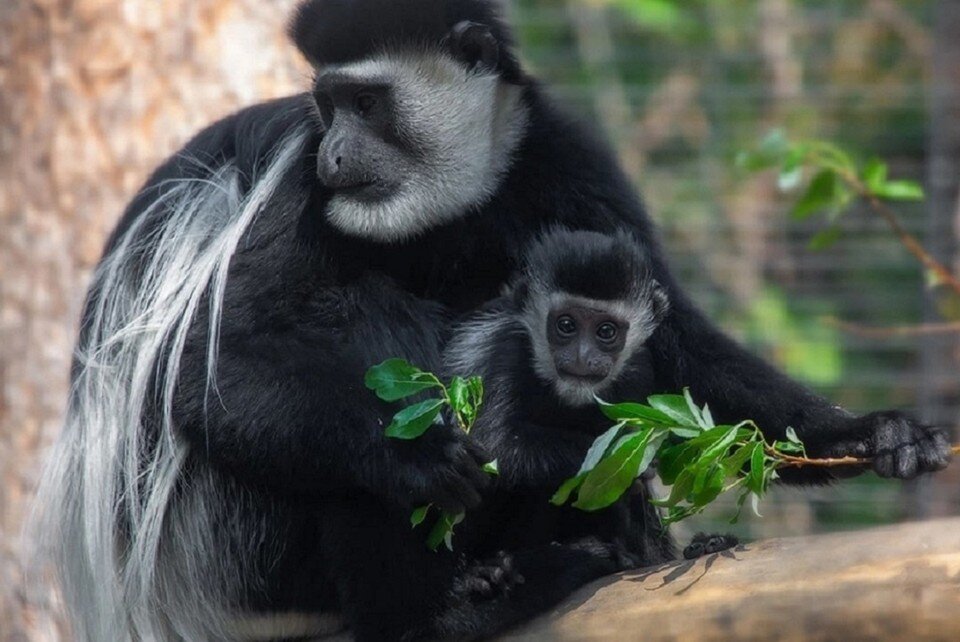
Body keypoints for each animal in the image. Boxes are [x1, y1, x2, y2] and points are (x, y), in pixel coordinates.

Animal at [37, 0, 952, 636]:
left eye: (366, 103)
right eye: (327, 106)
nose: (337, 152)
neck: (450, 207)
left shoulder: (564, 157)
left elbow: (676, 339)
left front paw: (873, 434)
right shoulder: (296, 188)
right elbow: (202, 368)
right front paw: (411, 460)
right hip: (231, 547)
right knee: (359, 329)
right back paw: (449, 607)